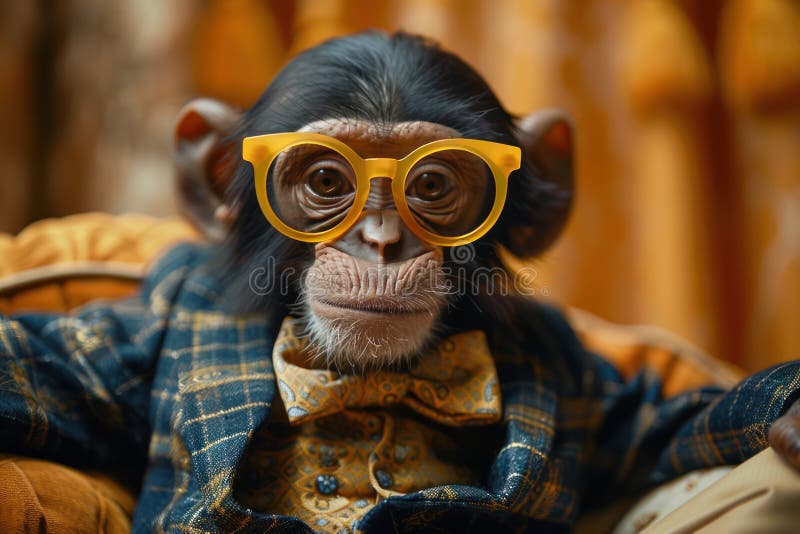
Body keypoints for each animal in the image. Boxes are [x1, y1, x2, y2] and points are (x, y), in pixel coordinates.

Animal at [1, 31, 799, 534]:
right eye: (327, 180)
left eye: (434, 185)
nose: (382, 244)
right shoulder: (136, 331)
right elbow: (47, 368)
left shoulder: (582, 378)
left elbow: (658, 421)